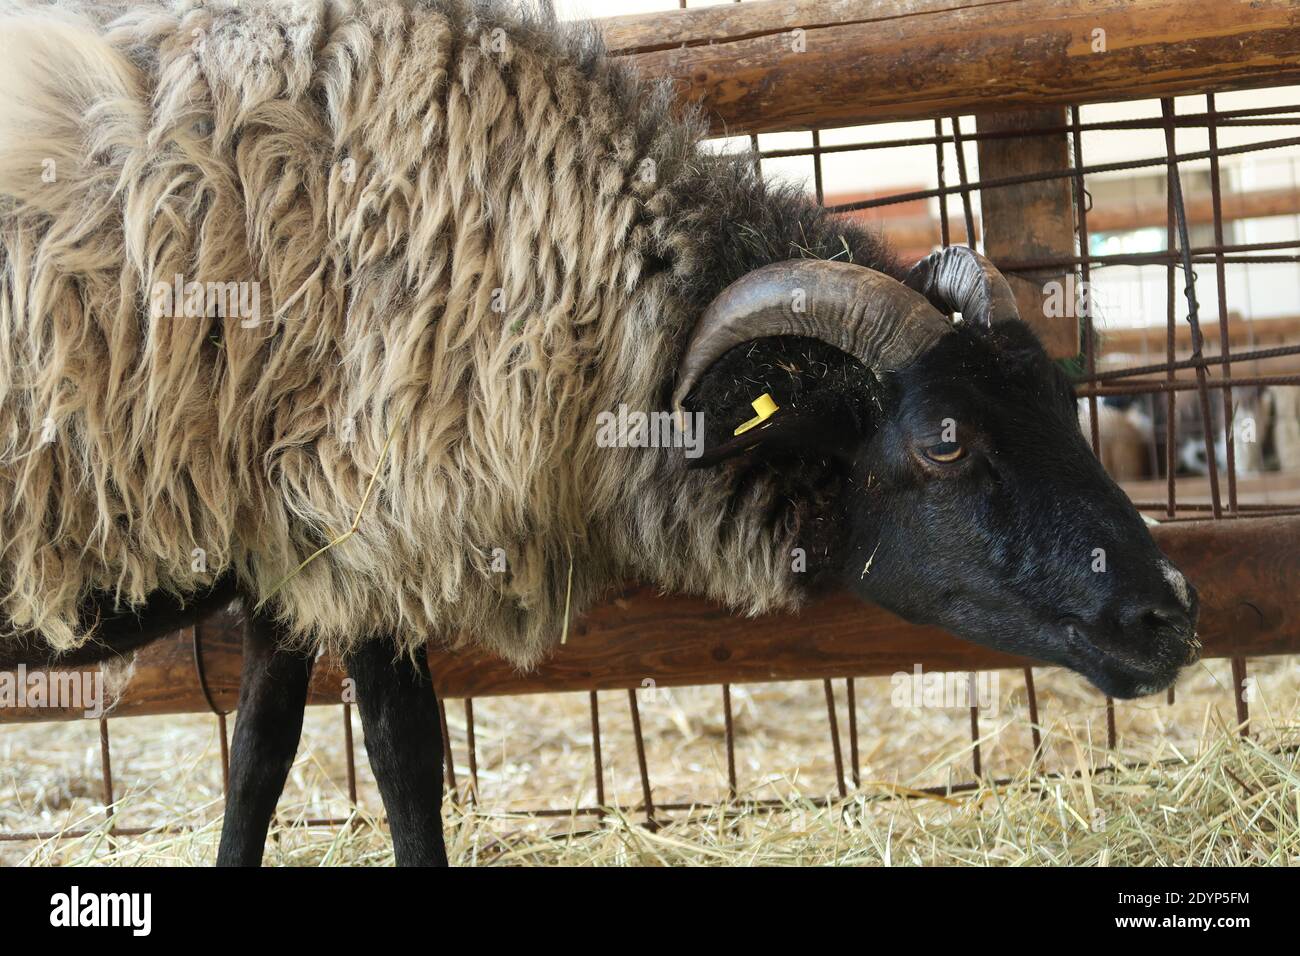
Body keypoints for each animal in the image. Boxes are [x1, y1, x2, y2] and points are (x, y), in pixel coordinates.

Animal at [0, 0, 1201, 866]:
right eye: (944, 439)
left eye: (1059, 400)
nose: (1171, 613)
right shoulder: (374, 537)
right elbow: (404, 760)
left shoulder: (284, 549)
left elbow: (259, 751)